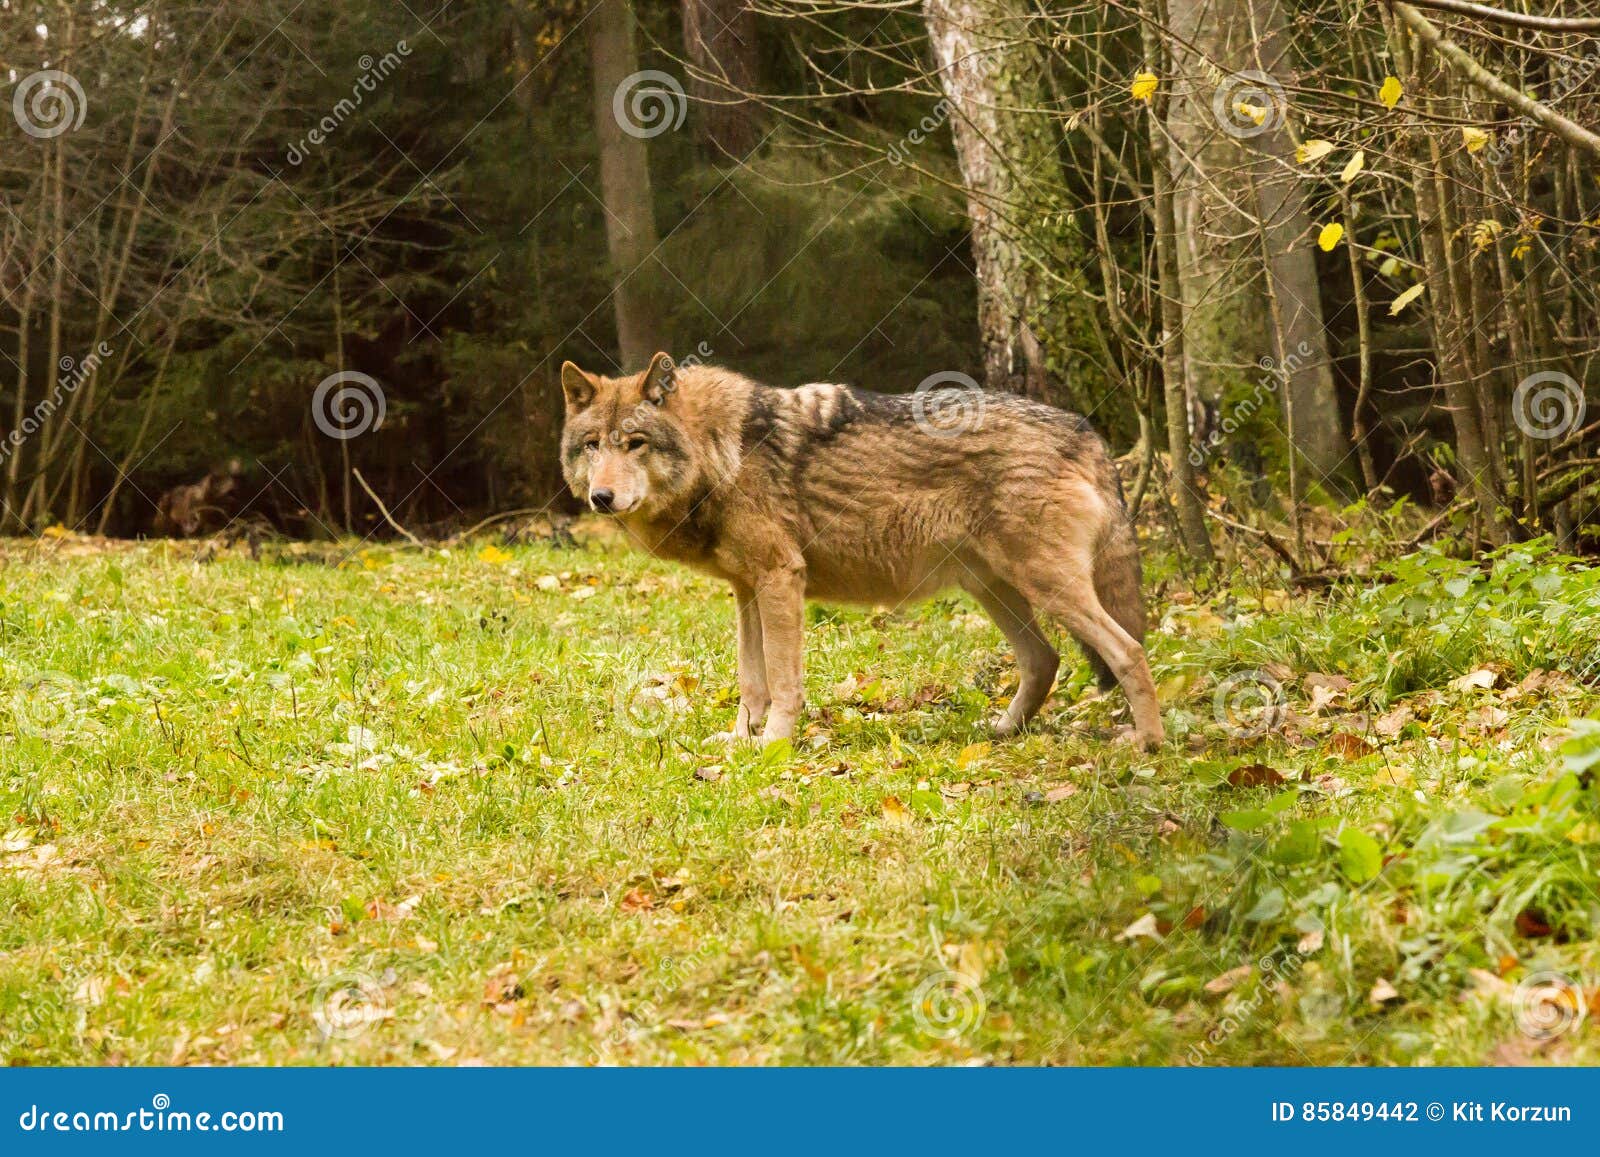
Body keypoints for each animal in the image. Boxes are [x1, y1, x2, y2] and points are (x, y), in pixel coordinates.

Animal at [559, 353, 1163, 750]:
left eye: (635, 443)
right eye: (592, 446)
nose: (601, 498)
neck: (717, 454)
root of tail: (1083, 429)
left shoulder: (781, 580)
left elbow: (783, 682)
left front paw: (773, 747)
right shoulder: (747, 591)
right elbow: (751, 682)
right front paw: (738, 743)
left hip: (1049, 589)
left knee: (1130, 650)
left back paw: (1146, 744)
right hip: (996, 591)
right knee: (1045, 660)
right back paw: (1000, 732)